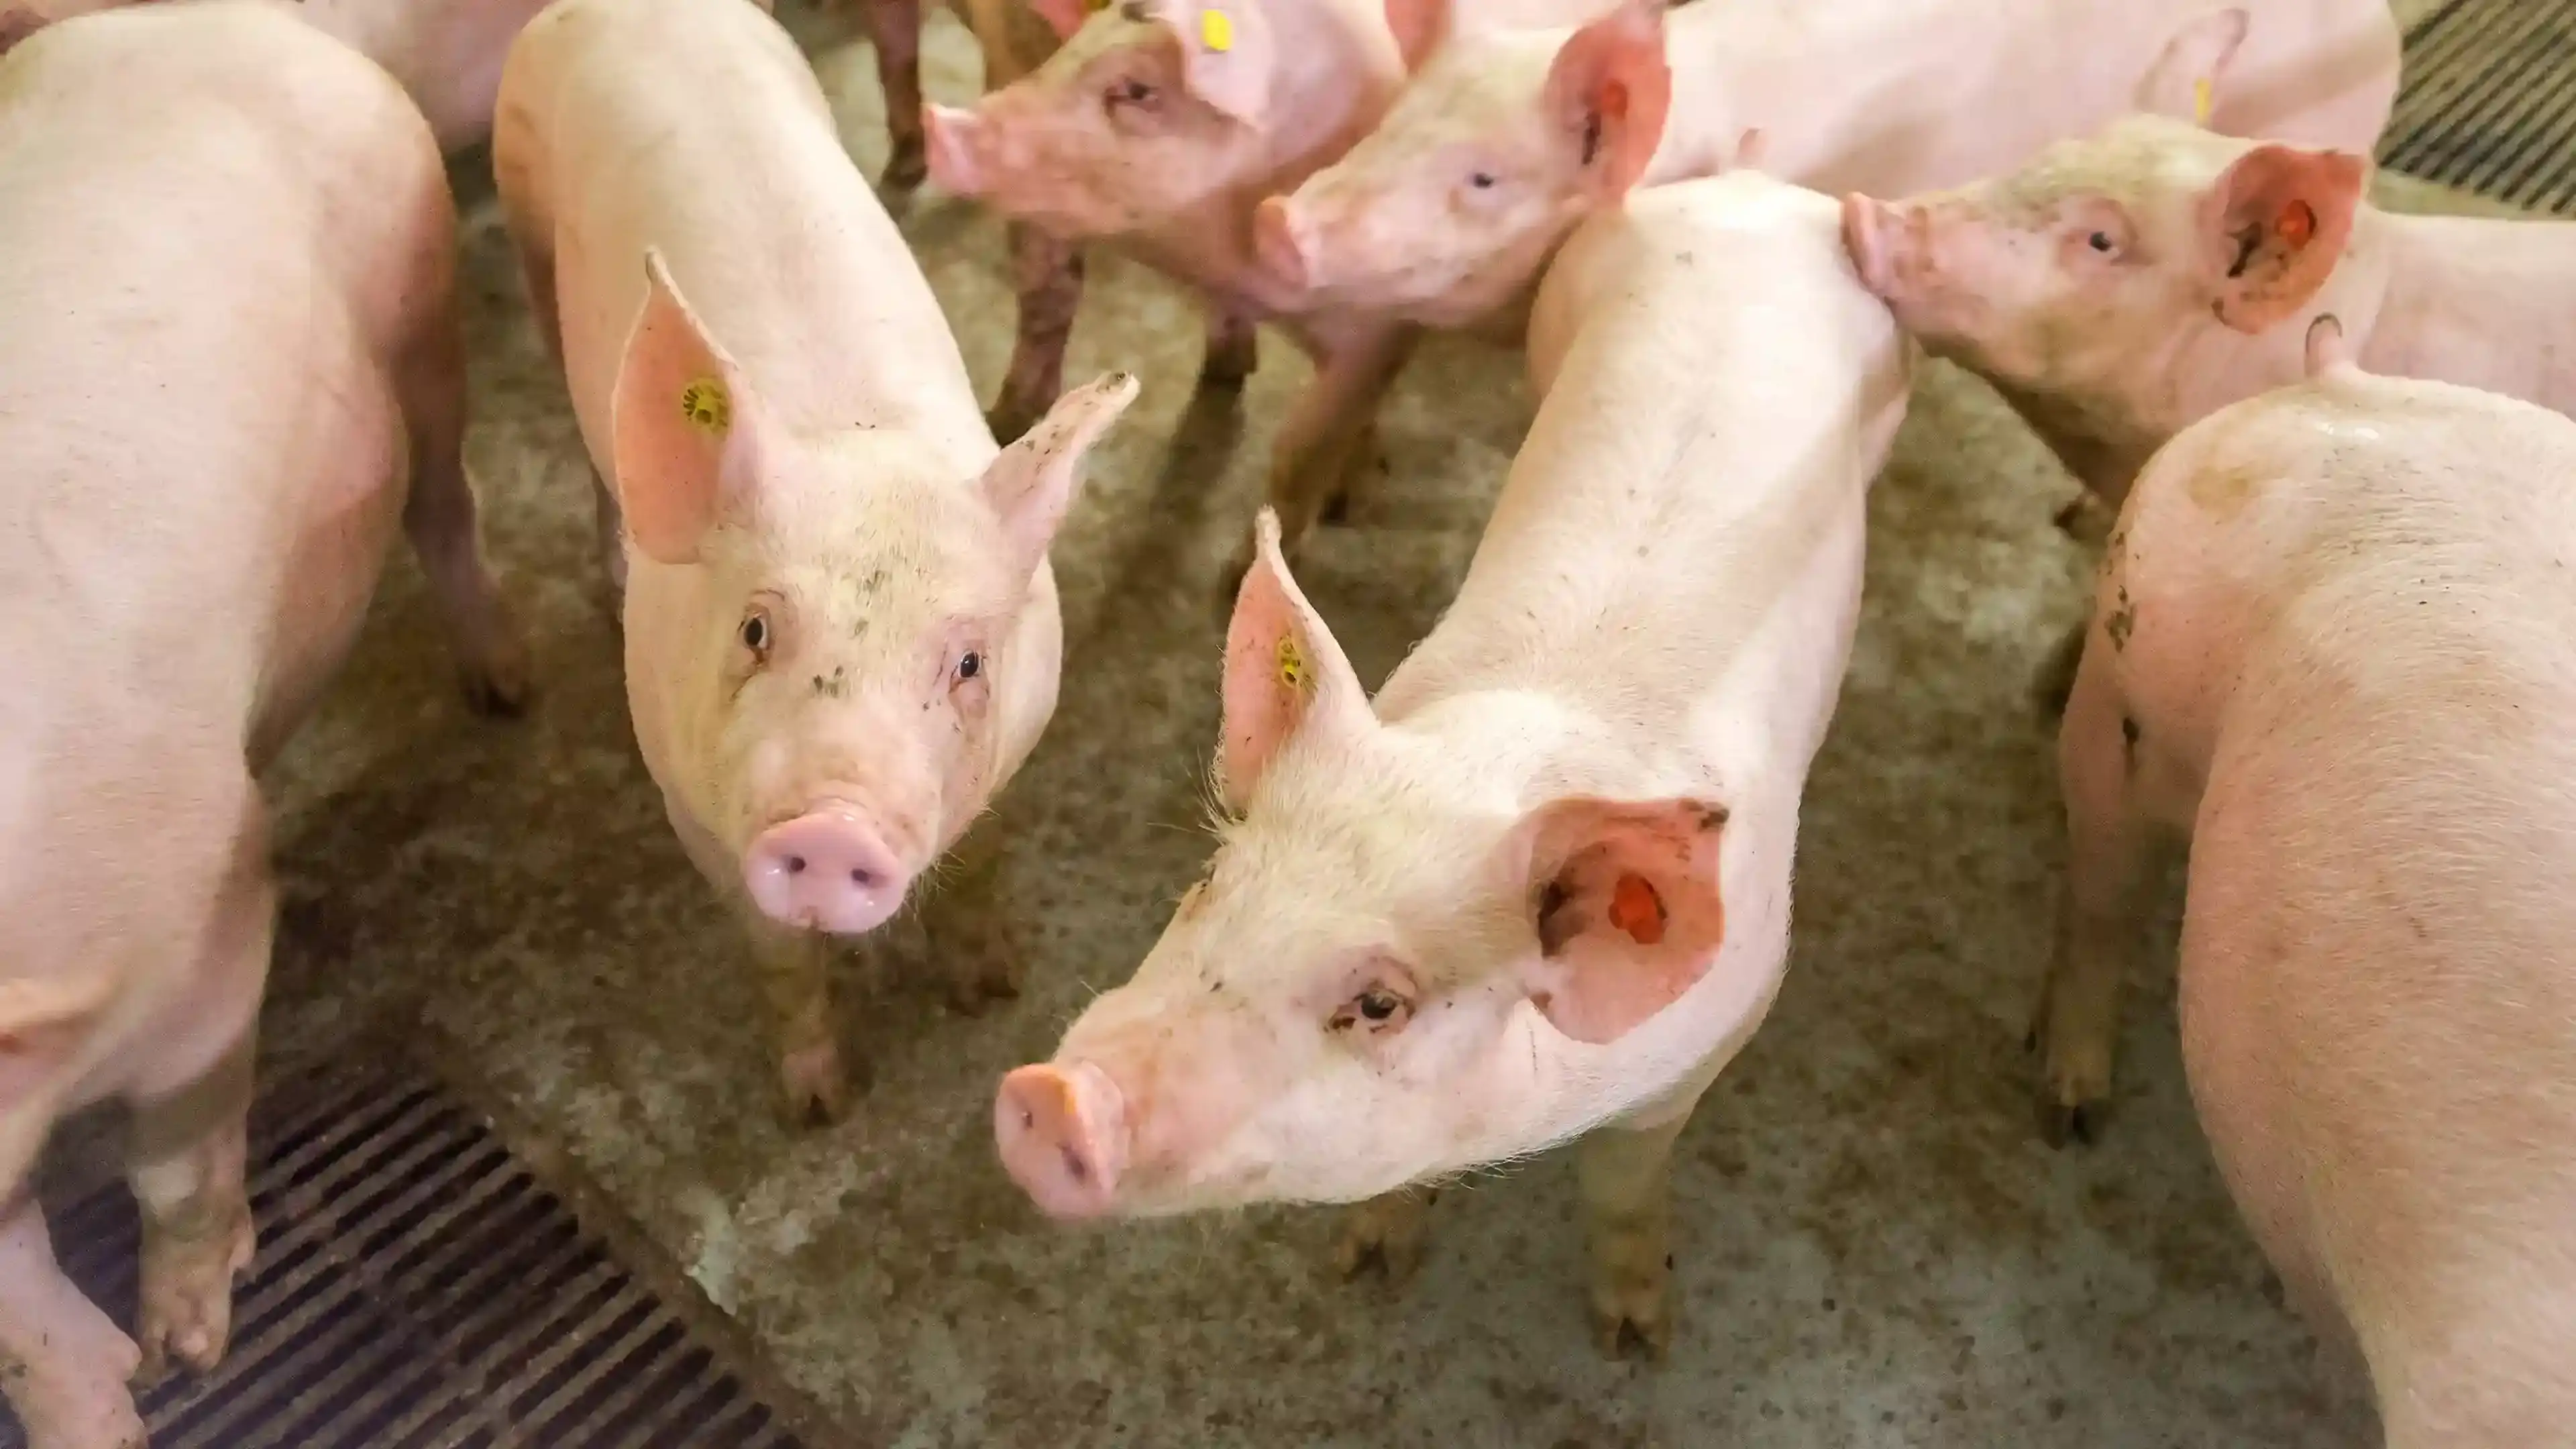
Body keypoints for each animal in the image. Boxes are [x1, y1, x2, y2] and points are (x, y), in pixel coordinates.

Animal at [0, 3, 528, 1445]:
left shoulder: (203, 916)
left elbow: (174, 1155)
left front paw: (189, 1349)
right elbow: (21, 1306)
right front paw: (98, 1406)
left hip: (419, 298)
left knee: (446, 500)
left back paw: (505, 688)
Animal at [493, 0, 1137, 1124]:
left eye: (968, 663)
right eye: (756, 629)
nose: (835, 828)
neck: (855, 440)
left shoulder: (1017, 749)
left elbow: (979, 864)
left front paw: (991, 986)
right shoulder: (691, 812)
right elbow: (778, 957)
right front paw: (819, 1108)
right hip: (523, 213)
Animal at [991, 171, 1911, 1356]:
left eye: (1380, 1003)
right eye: (1208, 885)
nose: (1052, 1098)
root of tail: (1762, 192)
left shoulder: (1718, 1034)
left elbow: (1624, 1183)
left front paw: (1636, 1337)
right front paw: (1370, 1263)